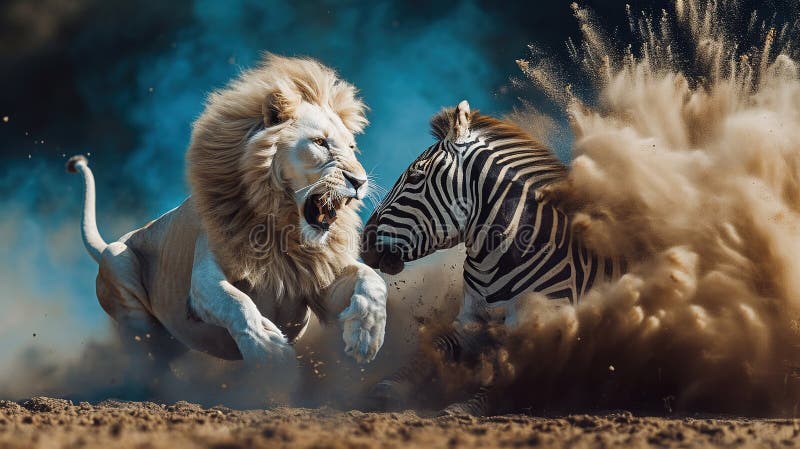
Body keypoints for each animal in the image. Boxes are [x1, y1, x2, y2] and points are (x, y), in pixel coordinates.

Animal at [66, 55, 387, 376]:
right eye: (320, 142)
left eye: (352, 147)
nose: (359, 181)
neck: (283, 233)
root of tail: (113, 242)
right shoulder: (202, 281)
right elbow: (237, 303)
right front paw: (268, 352)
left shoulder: (319, 281)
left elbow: (372, 279)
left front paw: (365, 335)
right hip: (120, 270)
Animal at [360, 100, 624, 415]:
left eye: (414, 176)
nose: (364, 242)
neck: (495, 260)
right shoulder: (470, 319)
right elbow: (436, 345)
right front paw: (390, 387)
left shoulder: (543, 325)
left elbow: (505, 369)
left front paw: (463, 408)